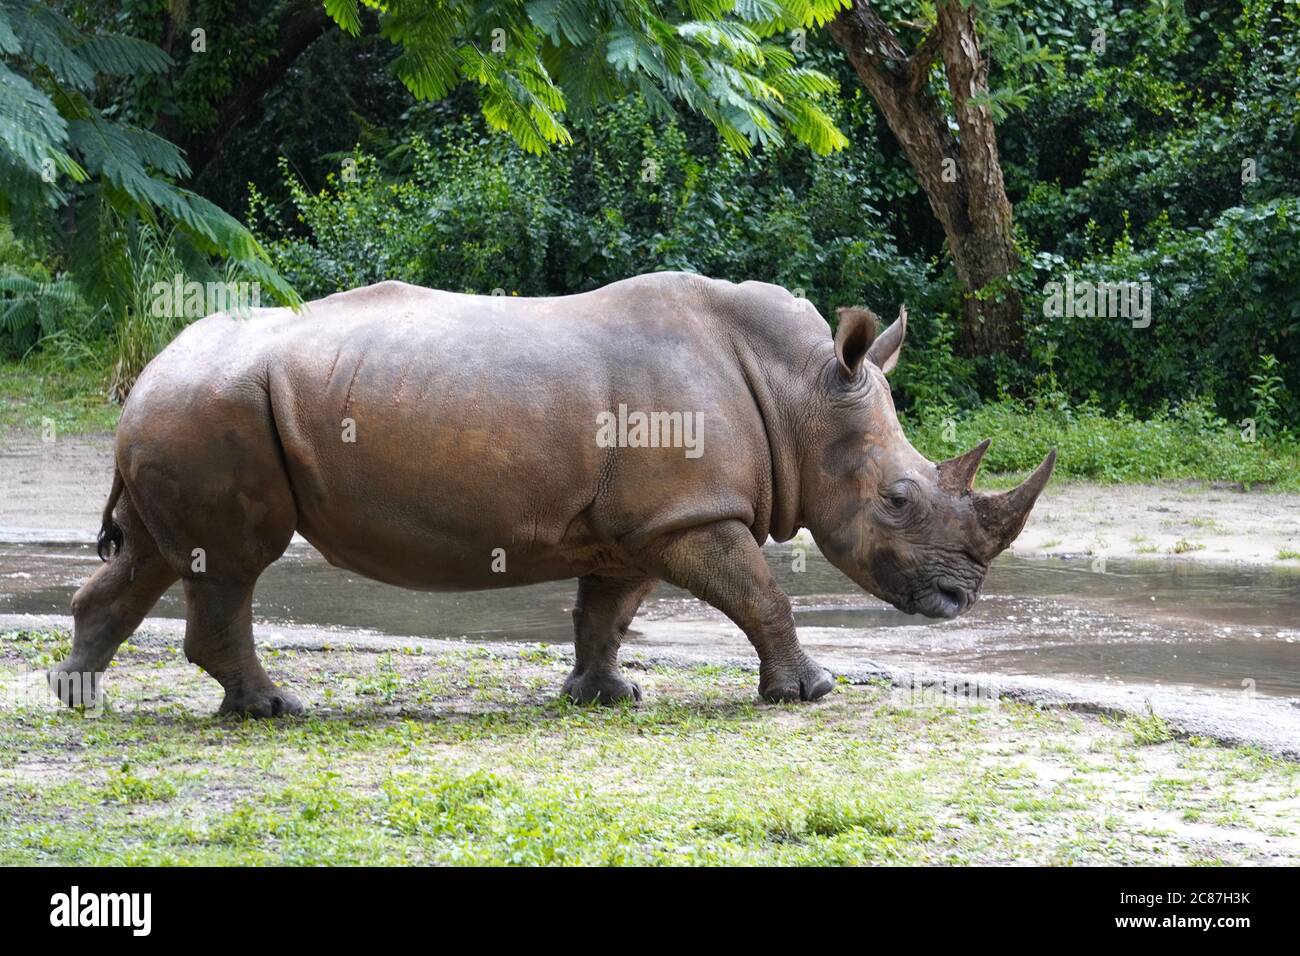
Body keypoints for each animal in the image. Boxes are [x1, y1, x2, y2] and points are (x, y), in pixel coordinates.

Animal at [52, 273, 1054, 716]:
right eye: (899, 499)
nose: (961, 599)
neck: (801, 390)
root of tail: (149, 370)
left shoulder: (646, 519)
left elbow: (606, 610)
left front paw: (605, 695)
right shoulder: (689, 512)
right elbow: (761, 594)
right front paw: (809, 693)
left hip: (189, 406)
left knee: (158, 554)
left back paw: (75, 696)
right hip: (212, 409)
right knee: (230, 564)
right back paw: (275, 710)